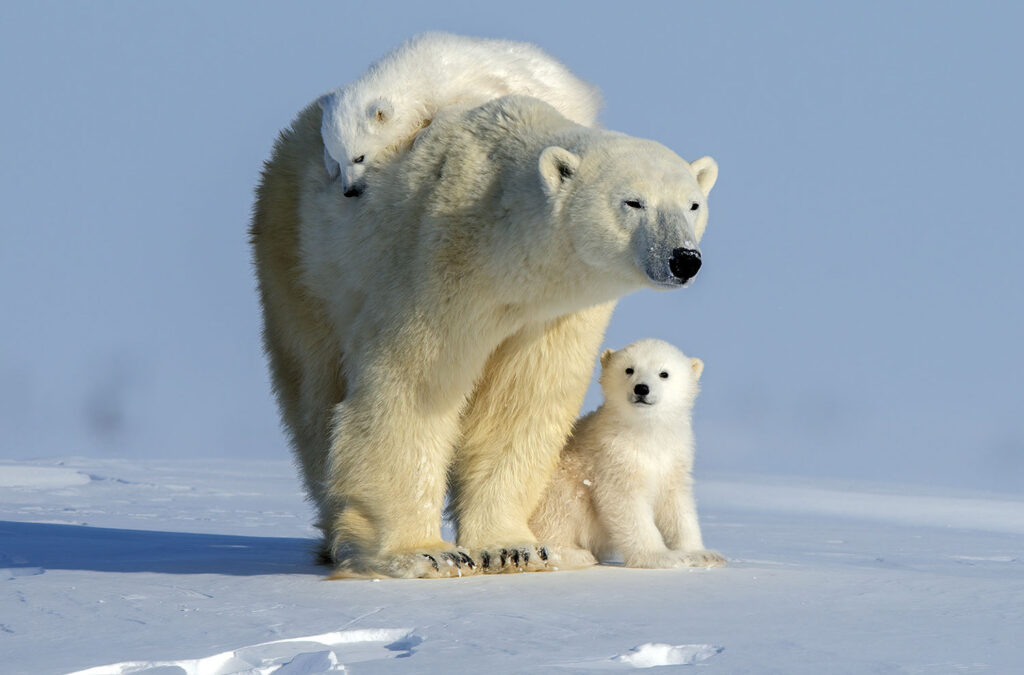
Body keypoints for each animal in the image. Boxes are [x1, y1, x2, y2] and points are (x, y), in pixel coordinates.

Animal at [317, 32, 601, 197]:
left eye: (360, 157)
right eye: (340, 157)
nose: (349, 191)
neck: (416, 68)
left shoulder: (459, 82)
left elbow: (476, 99)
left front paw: (422, 135)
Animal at [530, 339, 727, 569]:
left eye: (664, 373)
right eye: (629, 369)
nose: (641, 388)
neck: (646, 433)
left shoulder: (674, 457)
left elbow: (677, 505)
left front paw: (703, 554)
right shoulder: (614, 456)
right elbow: (626, 503)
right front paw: (661, 557)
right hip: (557, 487)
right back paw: (575, 554)